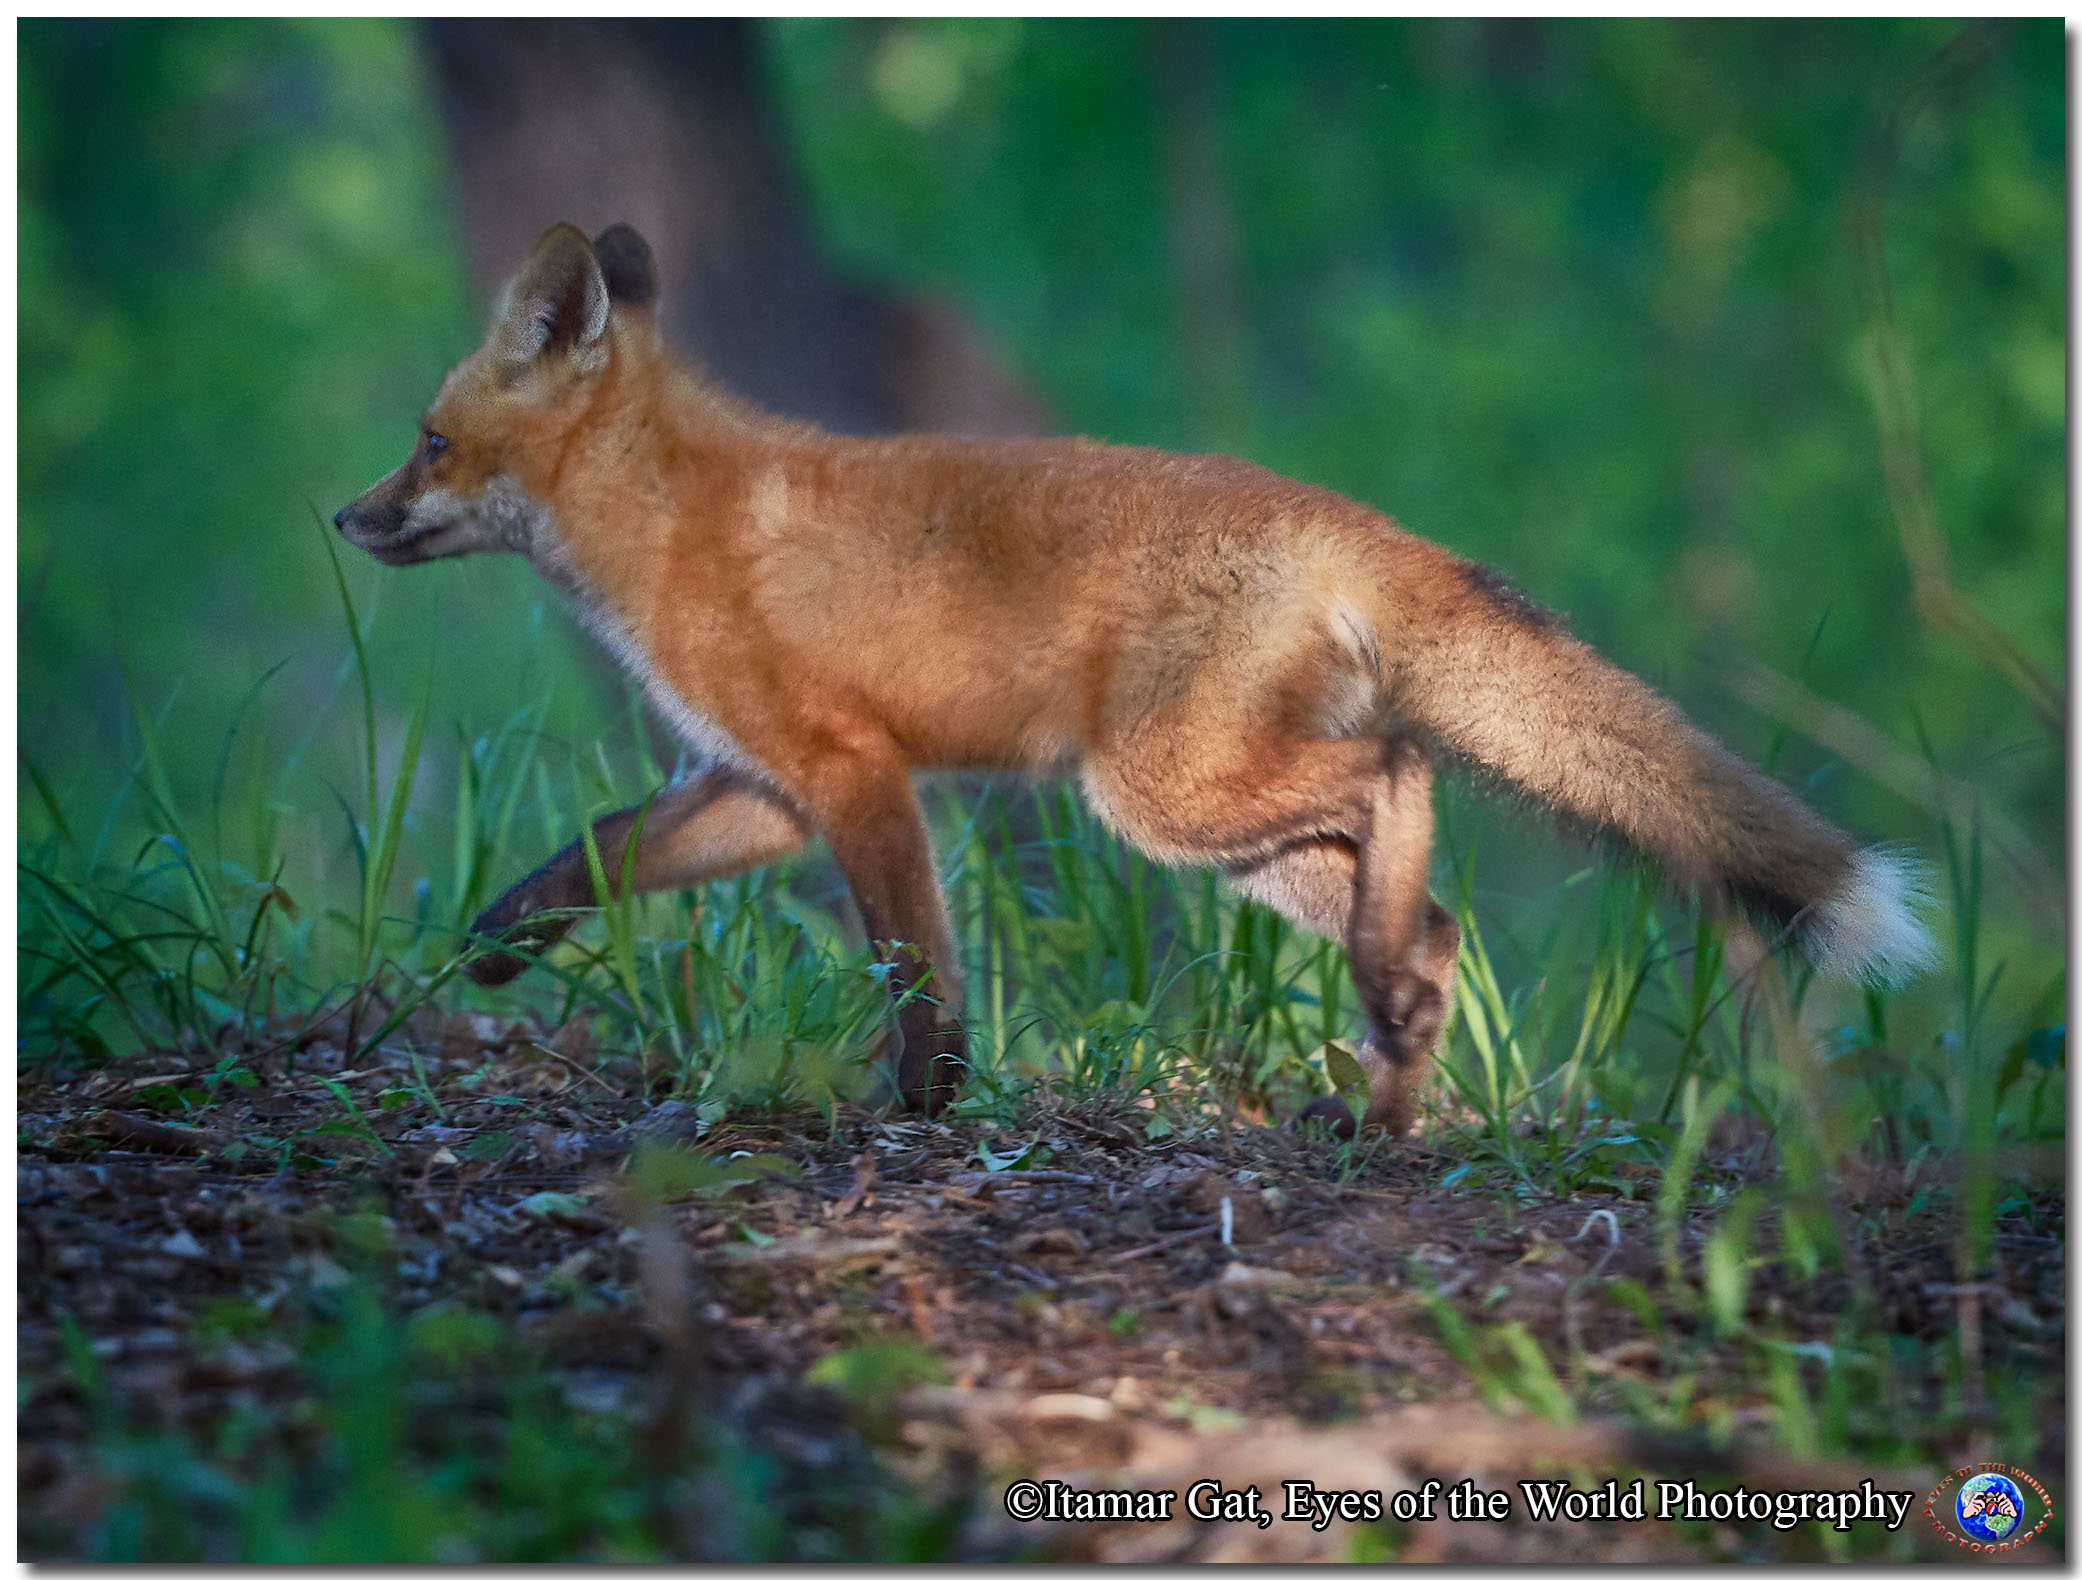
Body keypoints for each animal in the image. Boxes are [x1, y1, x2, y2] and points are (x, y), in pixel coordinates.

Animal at [335, 222, 1936, 1136]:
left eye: (426, 441)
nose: (343, 517)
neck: (672, 519)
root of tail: (1349, 518)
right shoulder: (758, 787)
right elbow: (593, 858)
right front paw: (491, 947)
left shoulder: (852, 770)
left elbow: (916, 963)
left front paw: (927, 1106)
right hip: (1236, 837)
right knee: (1429, 923)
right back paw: (1383, 1109)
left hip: (1160, 795)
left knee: (1401, 776)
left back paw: (1382, 1059)